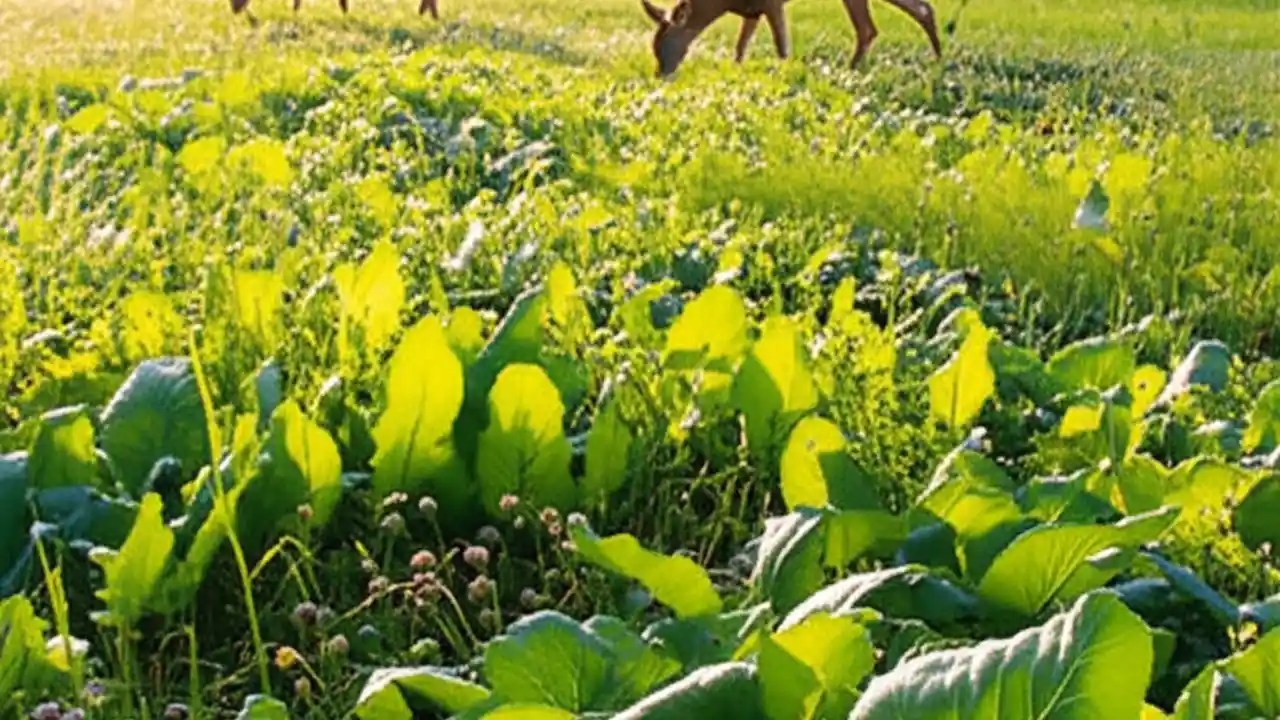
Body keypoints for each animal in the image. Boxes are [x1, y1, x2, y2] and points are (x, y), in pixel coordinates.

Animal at [640, 0, 942, 77]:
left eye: (663, 45)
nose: (660, 75)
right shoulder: (752, 11)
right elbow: (740, 48)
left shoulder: (771, 4)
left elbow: (782, 47)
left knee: (868, 28)